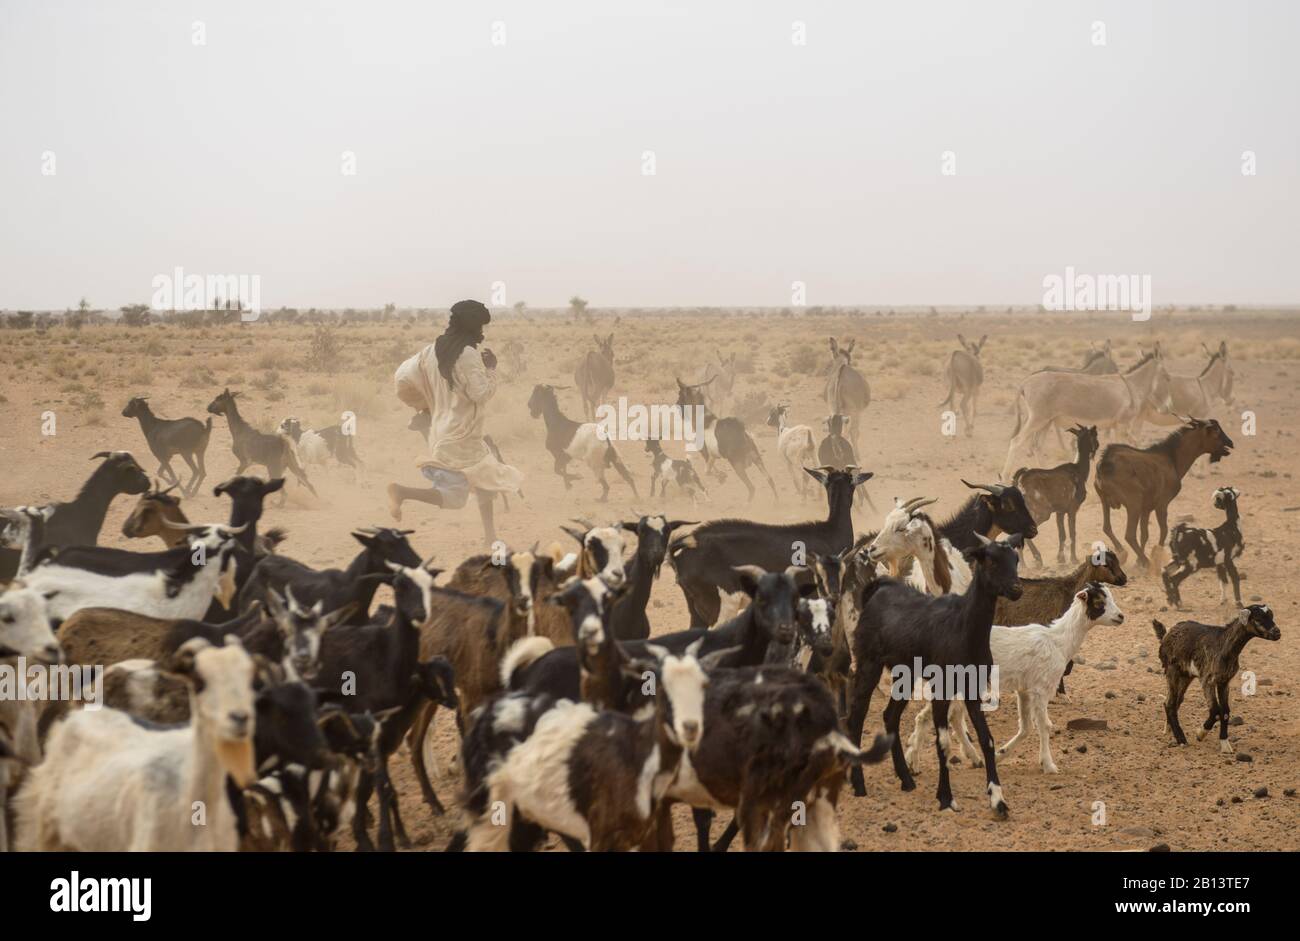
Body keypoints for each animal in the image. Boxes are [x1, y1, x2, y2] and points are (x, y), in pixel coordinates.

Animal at [847, 533, 1025, 816]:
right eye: (991, 560)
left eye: (1015, 559)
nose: (1017, 589)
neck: (964, 626)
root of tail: (878, 589)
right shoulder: (941, 688)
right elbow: (943, 742)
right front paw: (946, 797)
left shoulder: (972, 688)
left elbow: (987, 740)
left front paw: (998, 799)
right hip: (868, 663)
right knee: (856, 716)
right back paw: (859, 784)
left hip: (905, 673)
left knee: (890, 715)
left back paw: (906, 779)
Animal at [1012, 424, 1100, 566]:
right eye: (1094, 434)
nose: (1097, 445)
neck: (1079, 469)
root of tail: (1021, 480)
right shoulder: (1072, 509)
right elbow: (1072, 533)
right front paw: (1073, 559)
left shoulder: (1060, 512)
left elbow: (1062, 535)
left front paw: (1061, 559)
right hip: (1042, 512)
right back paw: (1037, 559)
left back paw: (1024, 563)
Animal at [1153, 604, 1280, 754]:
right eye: (1259, 618)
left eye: (1271, 616)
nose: (1277, 633)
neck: (1223, 646)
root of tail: (1166, 636)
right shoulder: (1207, 680)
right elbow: (1215, 710)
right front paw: (1200, 733)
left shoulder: (1224, 681)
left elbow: (1225, 711)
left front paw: (1225, 744)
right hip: (1172, 670)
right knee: (1170, 704)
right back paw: (1181, 740)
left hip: (1186, 675)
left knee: (1174, 701)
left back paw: (1169, 730)